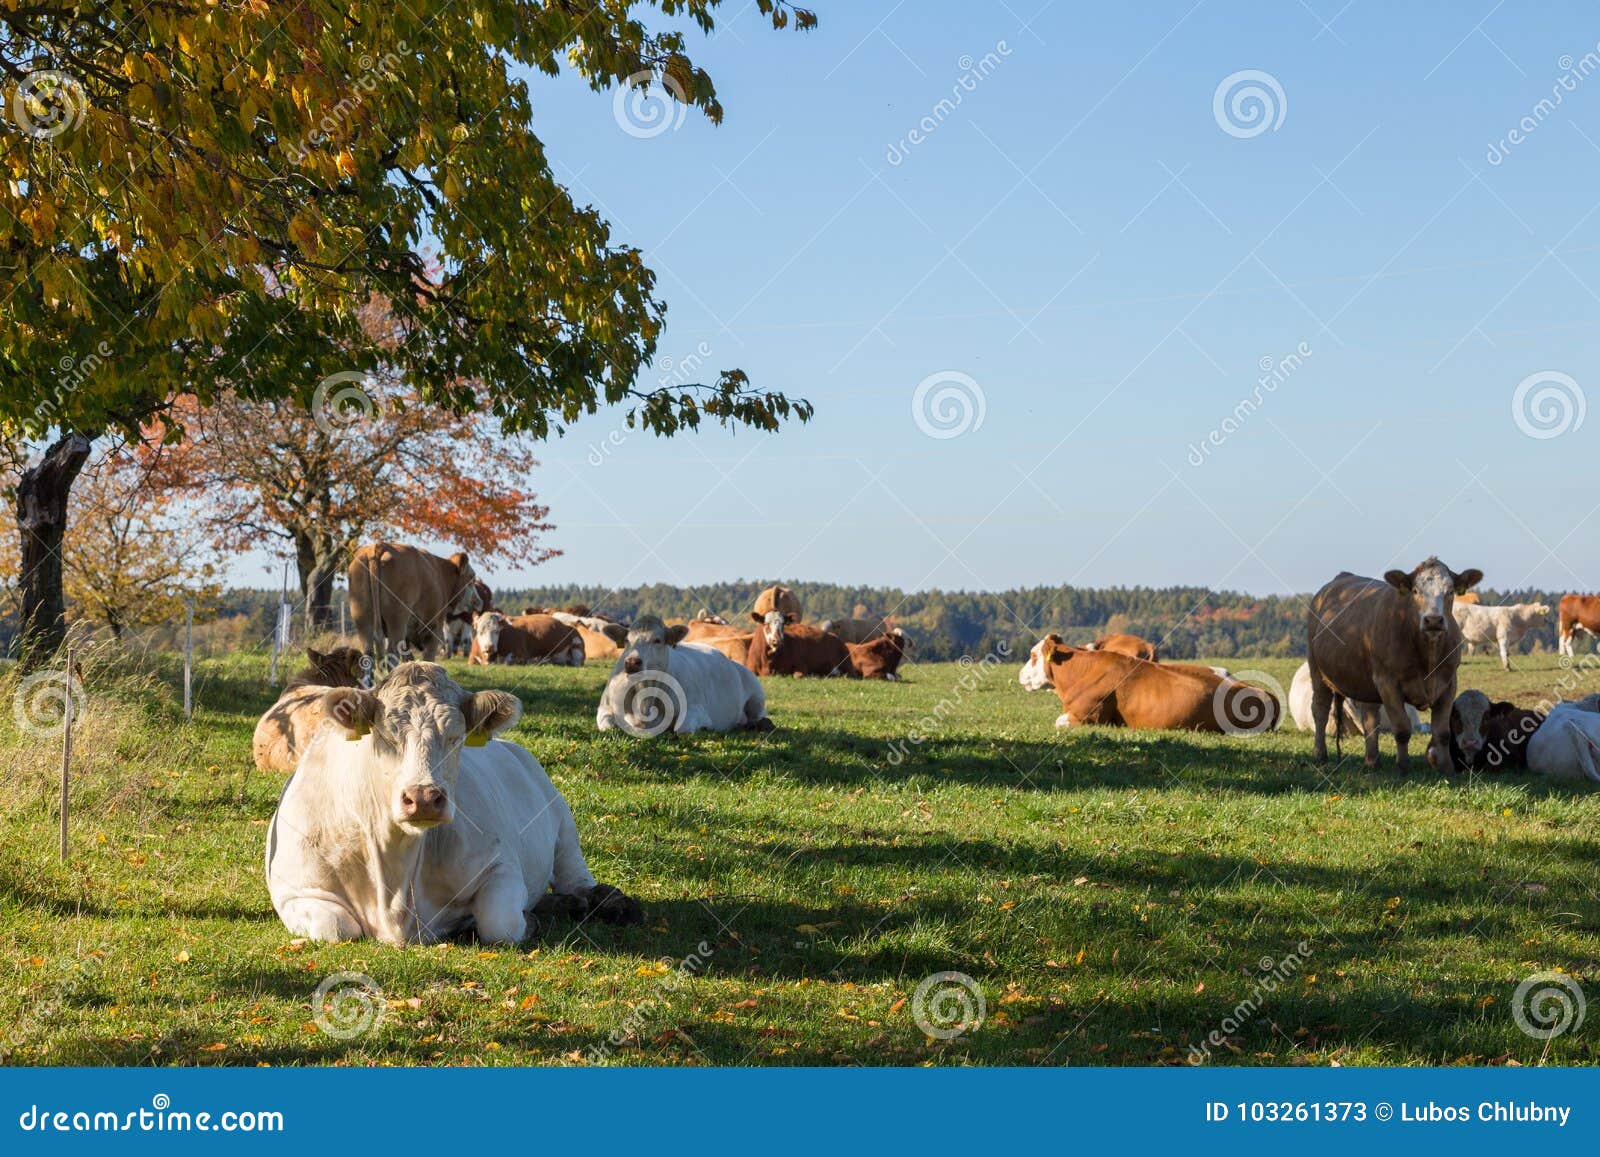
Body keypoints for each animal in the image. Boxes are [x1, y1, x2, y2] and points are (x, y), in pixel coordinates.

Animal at [266, 663, 642, 944]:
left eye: (455, 737)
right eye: (386, 735)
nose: (423, 798)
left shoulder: (500, 865)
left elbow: (501, 924)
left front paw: (521, 920)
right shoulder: (293, 889)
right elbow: (336, 928)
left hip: (564, 826)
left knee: (576, 879)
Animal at [348, 542, 481, 672]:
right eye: (471, 579)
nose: (479, 602)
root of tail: (379, 546)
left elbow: (409, 660)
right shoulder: (434, 630)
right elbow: (428, 659)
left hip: (362, 618)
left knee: (368, 657)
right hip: (397, 621)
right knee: (392, 656)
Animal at [595, 615, 771, 735]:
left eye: (657, 640)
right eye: (627, 641)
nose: (632, 662)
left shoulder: (697, 709)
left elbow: (682, 729)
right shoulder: (605, 707)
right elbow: (609, 726)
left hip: (757, 697)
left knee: (758, 716)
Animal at [1306, 558, 1482, 772]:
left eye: (1450, 591)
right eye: (1415, 590)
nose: (1433, 620)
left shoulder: (1449, 682)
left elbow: (1442, 732)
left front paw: (1447, 769)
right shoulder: (1387, 682)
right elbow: (1402, 728)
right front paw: (1403, 767)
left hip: (1367, 682)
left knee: (1370, 719)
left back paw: (1372, 761)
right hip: (1317, 669)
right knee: (1320, 710)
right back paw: (1319, 755)